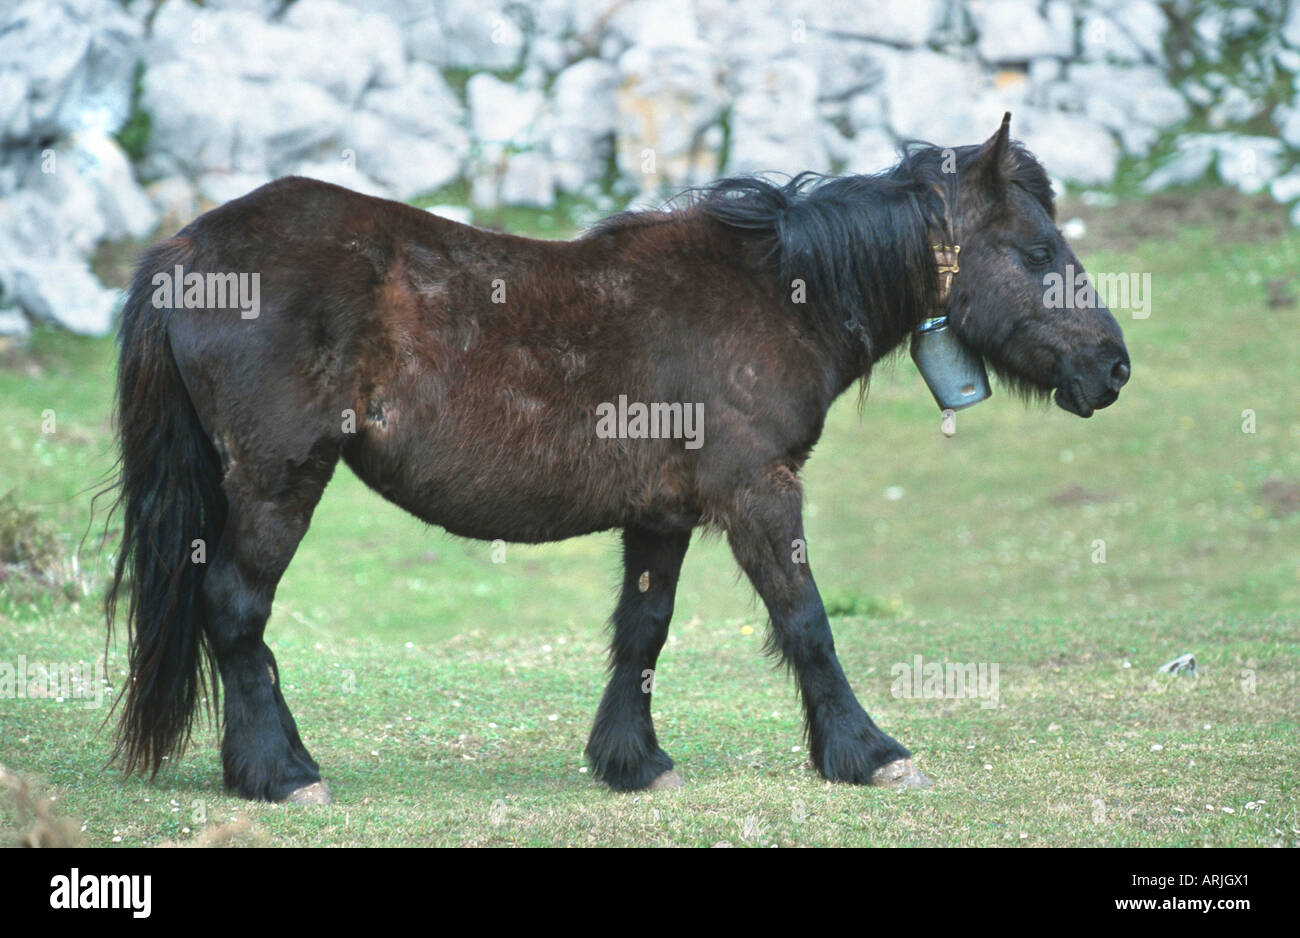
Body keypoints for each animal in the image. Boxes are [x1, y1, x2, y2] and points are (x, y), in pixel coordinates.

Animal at [104, 114, 1130, 803]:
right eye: (1038, 251)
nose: (1113, 366)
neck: (779, 293)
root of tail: (186, 248)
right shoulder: (758, 492)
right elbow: (806, 621)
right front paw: (871, 753)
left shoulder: (661, 515)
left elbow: (644, 631)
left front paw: (632, 762)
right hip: (280, 478)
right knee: (235, 610)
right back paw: (283, 774)